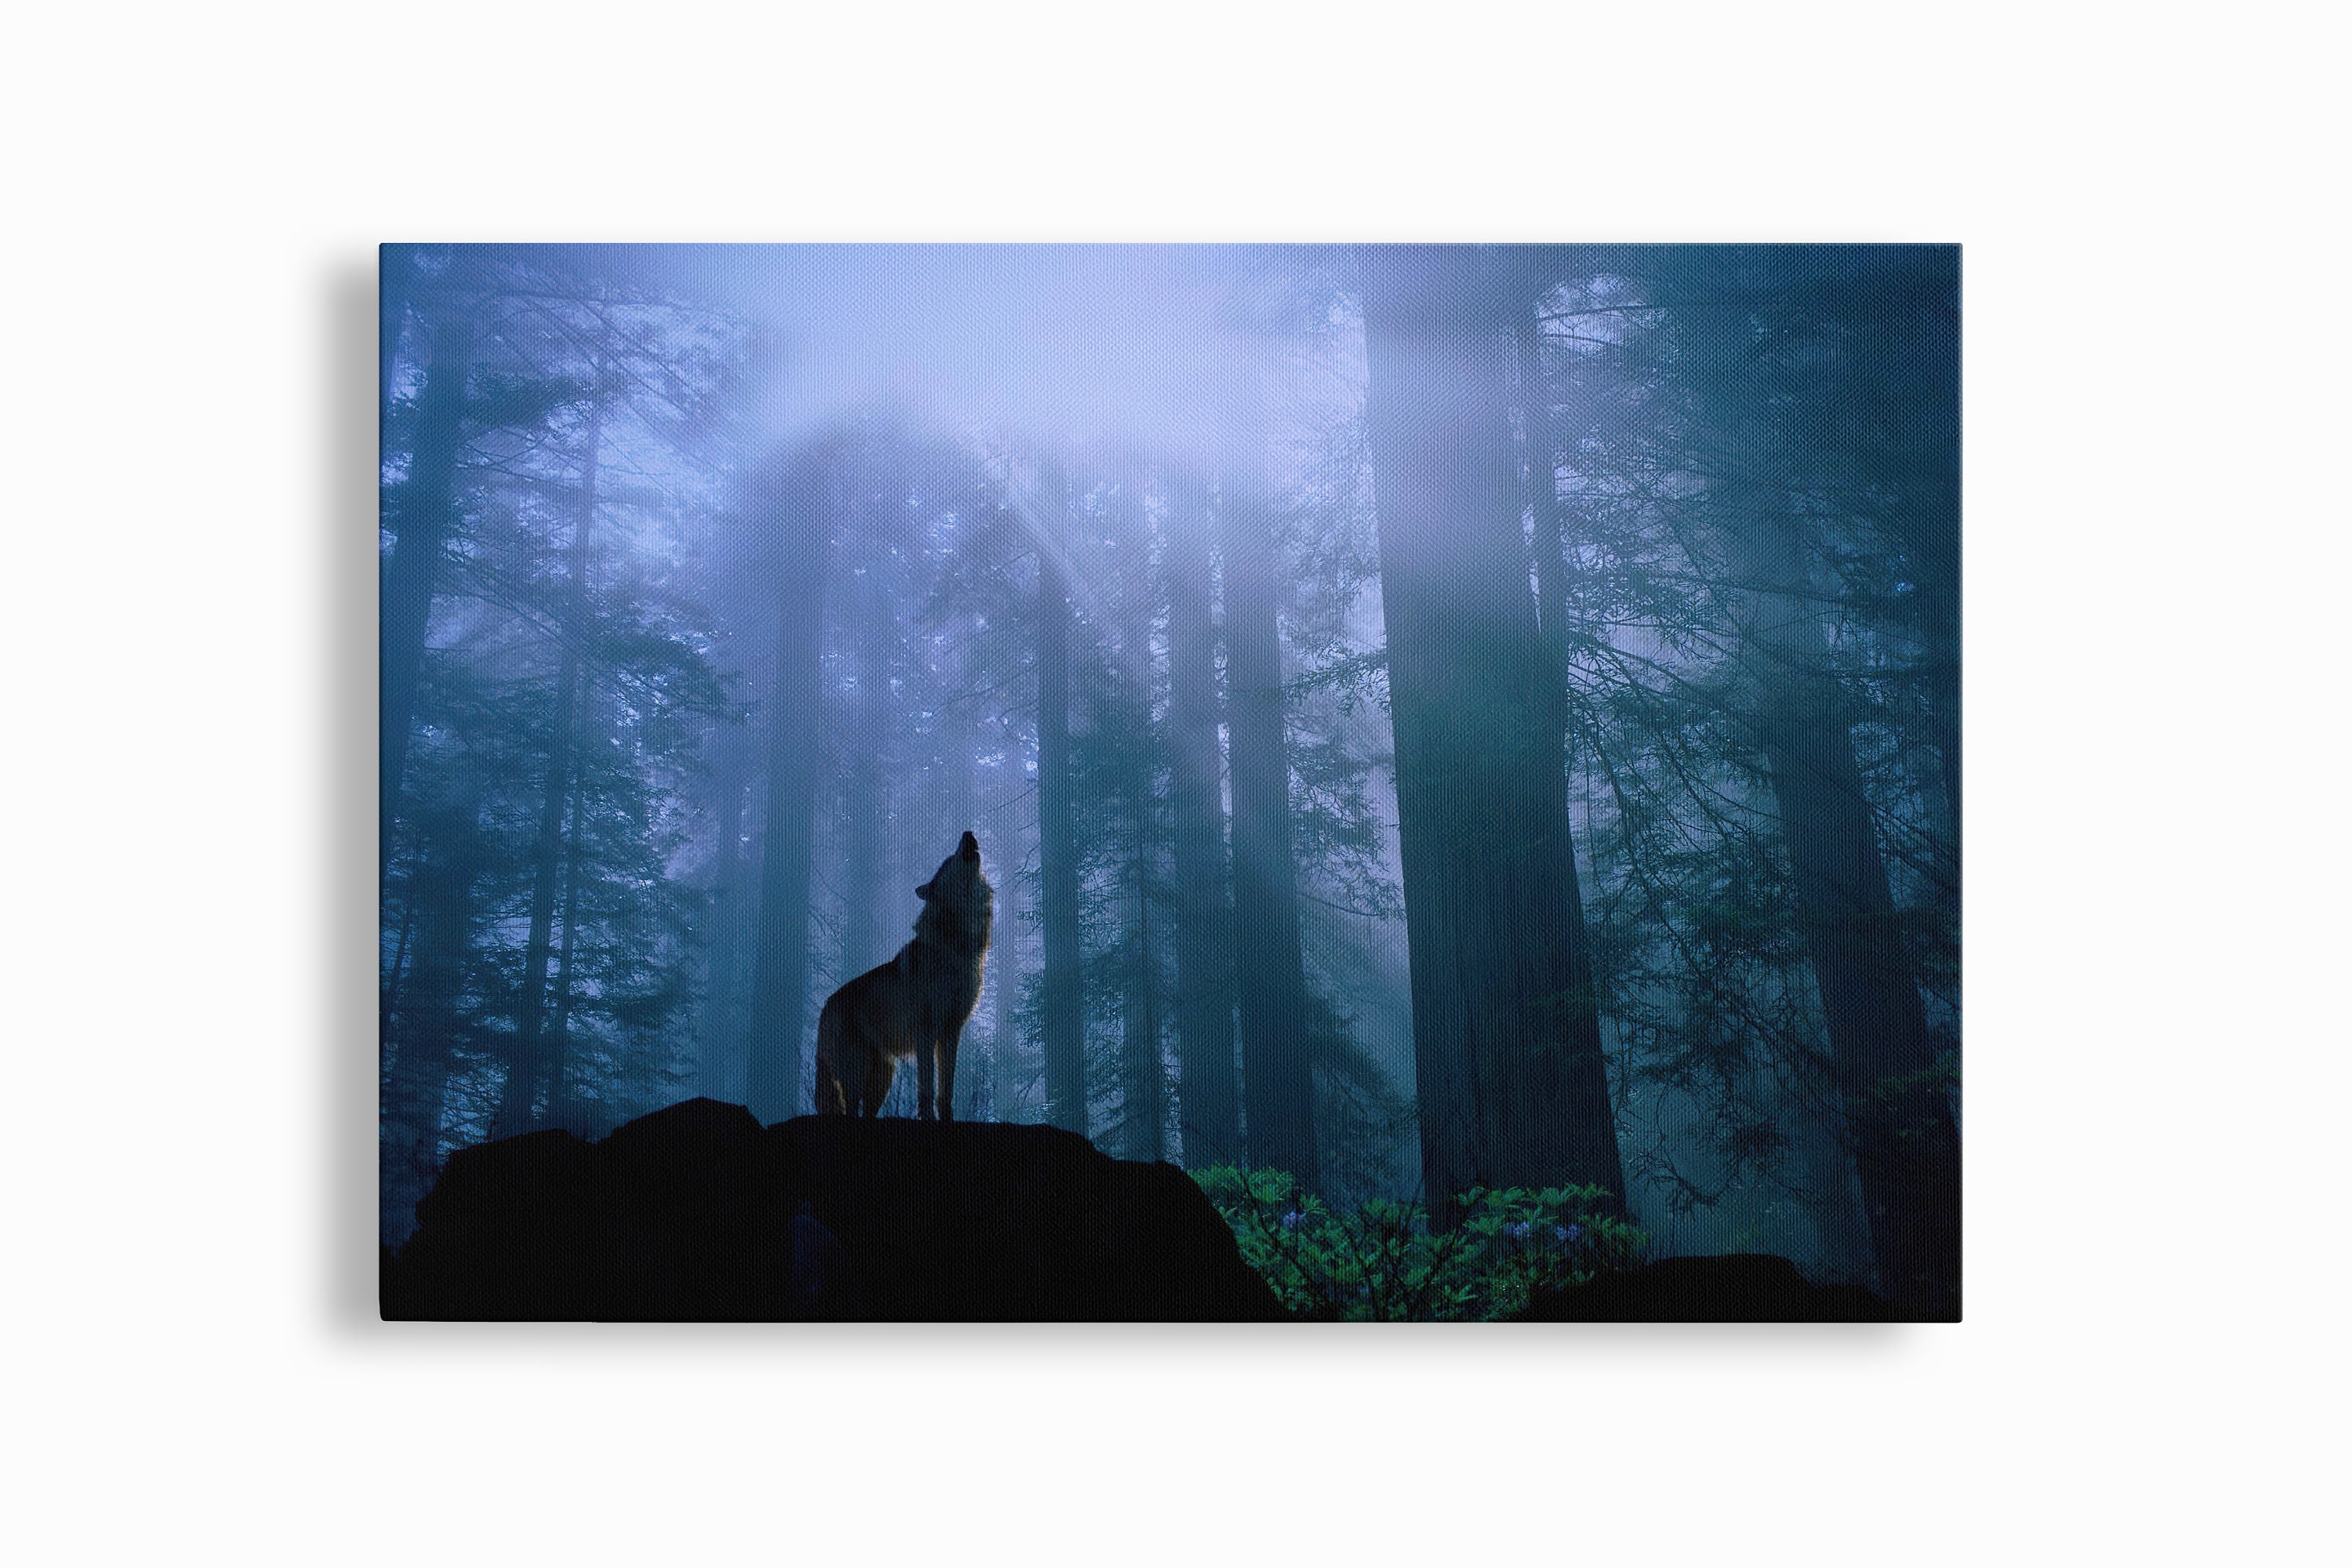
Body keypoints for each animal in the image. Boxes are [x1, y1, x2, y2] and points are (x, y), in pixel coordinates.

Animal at [812, 831, 993, 1120]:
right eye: (947, 861)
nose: (968, 833)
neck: (958, 944)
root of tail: (825, 1006)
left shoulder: (951, 1031)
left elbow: (946, 1091)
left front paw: (947, 1120)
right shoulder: (926, 1032)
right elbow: (926, 1087)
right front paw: (928, 1119)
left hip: (883, 1077)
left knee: (867, 1112)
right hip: (856, 1074)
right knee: (850, 1109)